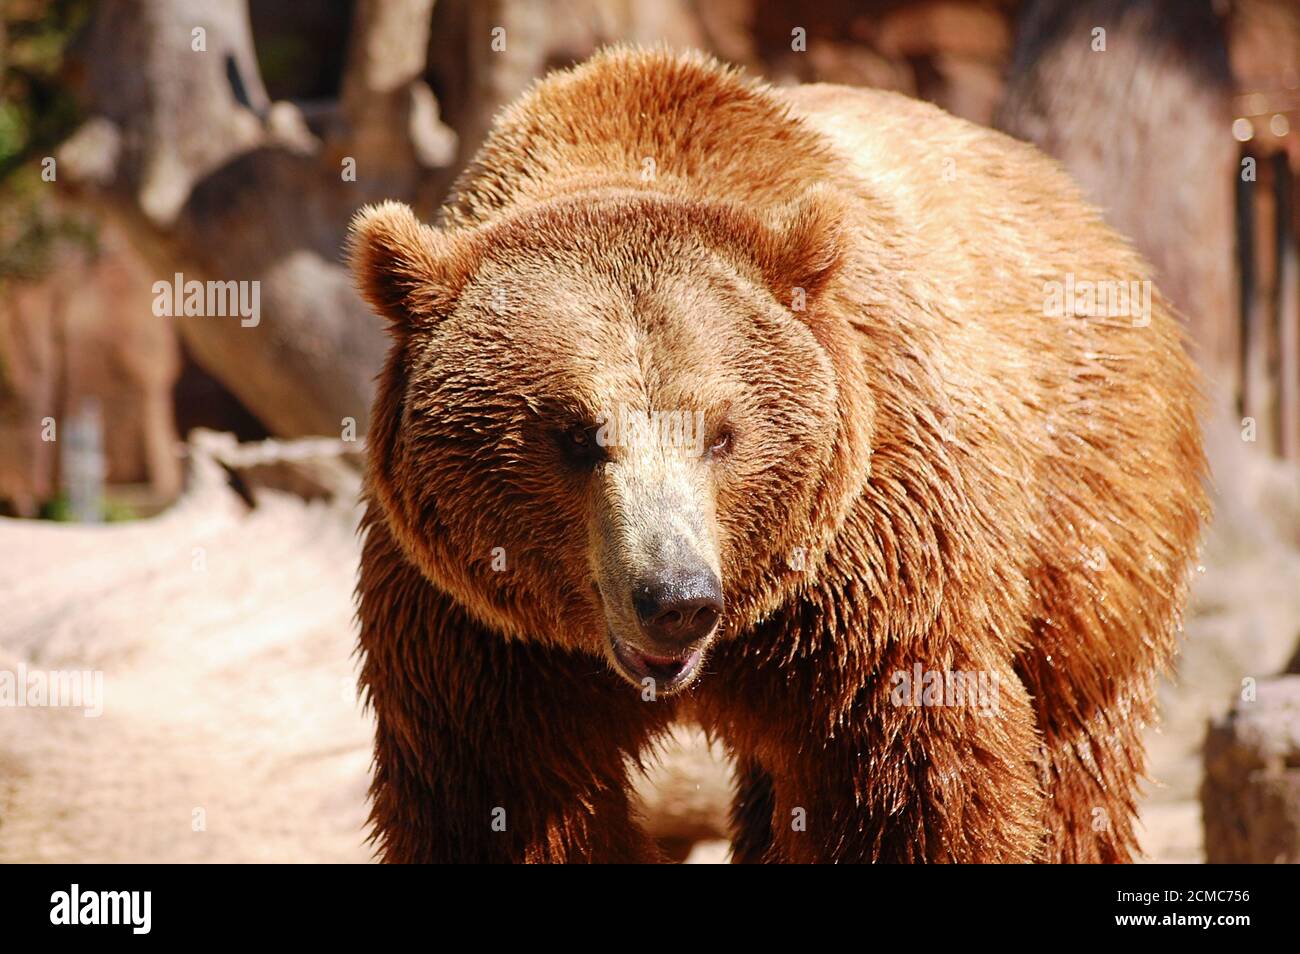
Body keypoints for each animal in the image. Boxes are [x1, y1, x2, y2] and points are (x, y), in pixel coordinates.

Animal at [347, 46, 1207, 863]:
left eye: (721, 433)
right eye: (577, 434)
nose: (677, 598)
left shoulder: (868, 558)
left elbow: (907, 778)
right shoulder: (479, 630)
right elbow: (505, 798)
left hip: (1090, 504)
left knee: (1076, 750)